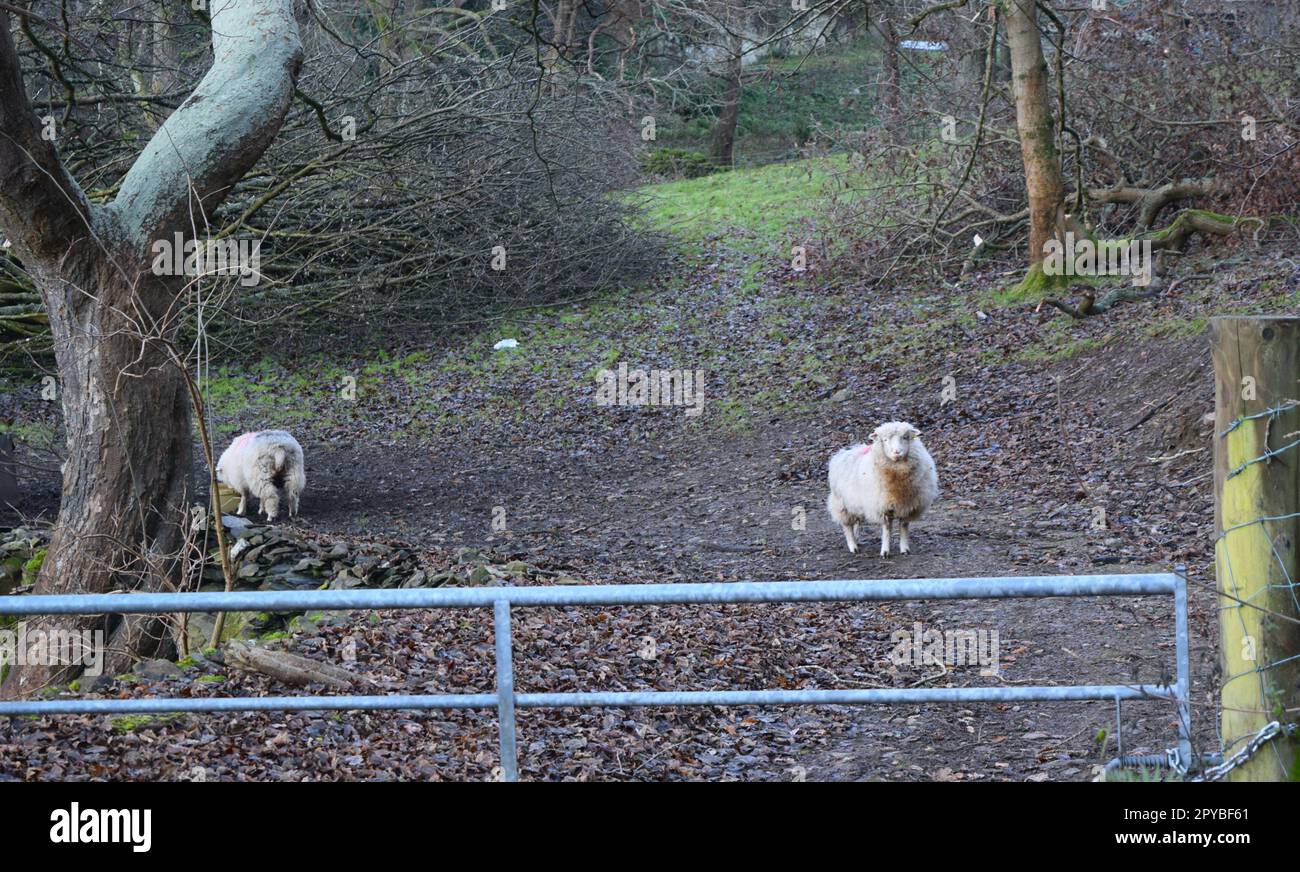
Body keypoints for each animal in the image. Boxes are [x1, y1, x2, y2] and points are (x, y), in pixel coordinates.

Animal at [826, 421, 938, 557]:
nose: (897, 451)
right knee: (847, 526)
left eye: (905, 437)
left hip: (855, 503)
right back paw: (853, 546)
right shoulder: (882, 507)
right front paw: (885, 551)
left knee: (857, 521)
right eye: (885, 440)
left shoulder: (908, 506)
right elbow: (887, 530)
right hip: (841, 504)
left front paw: (904, 549)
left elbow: (903, 527)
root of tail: (845, 451)